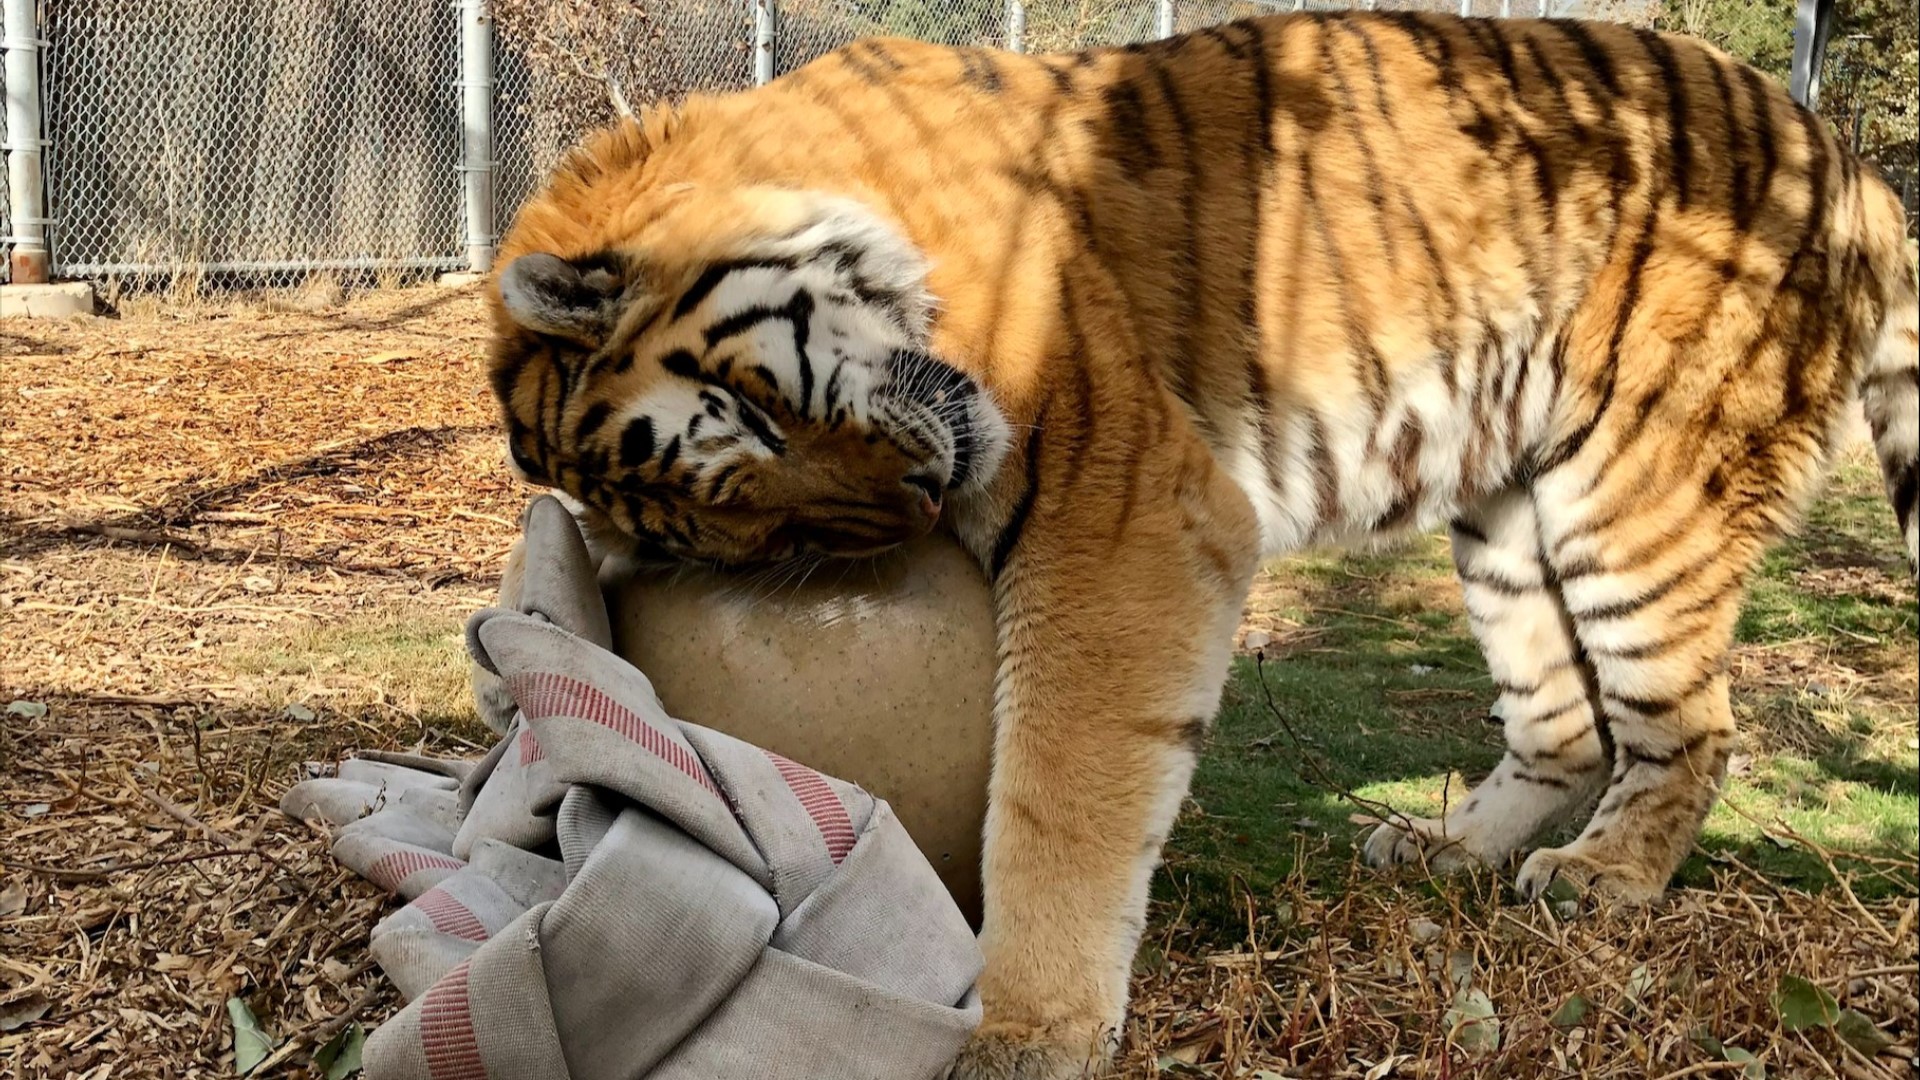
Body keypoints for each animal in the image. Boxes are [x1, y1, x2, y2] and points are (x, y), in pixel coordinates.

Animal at [477, 9, 1919, 1078]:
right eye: (756, 530)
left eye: (758, 420)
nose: (912, 507)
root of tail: (1843, 157)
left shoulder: (1123, 513)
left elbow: (1059, 790)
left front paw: (1026, 1029)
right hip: (1510, 506)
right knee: (1561, 717)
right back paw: (1449, 849)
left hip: (1640, 487)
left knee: (1695, 721)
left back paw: (1603, 879)